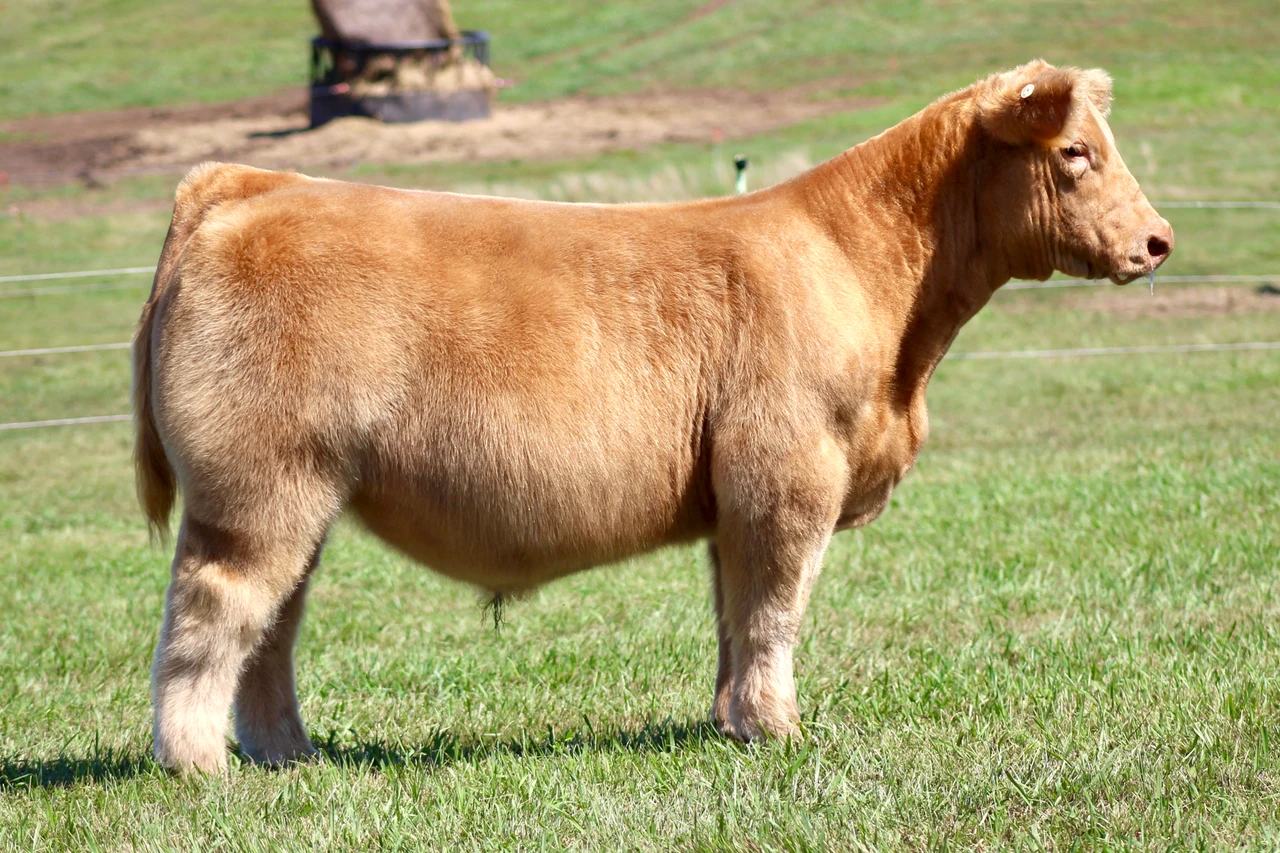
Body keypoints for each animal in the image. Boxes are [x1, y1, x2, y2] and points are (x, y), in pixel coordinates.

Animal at [133, 60, 1173, 773]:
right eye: (1075, 152)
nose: (1159, 240)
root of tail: (249, 184)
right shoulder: (788, 479)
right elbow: (774, 611)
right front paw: (779, 728)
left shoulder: (736, 498)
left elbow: (733, 614)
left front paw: (733, 722)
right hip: (256, 489)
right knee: (215, 609)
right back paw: (198, 762)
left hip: (299, 494)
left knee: (272, 625)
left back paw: (287, 752)